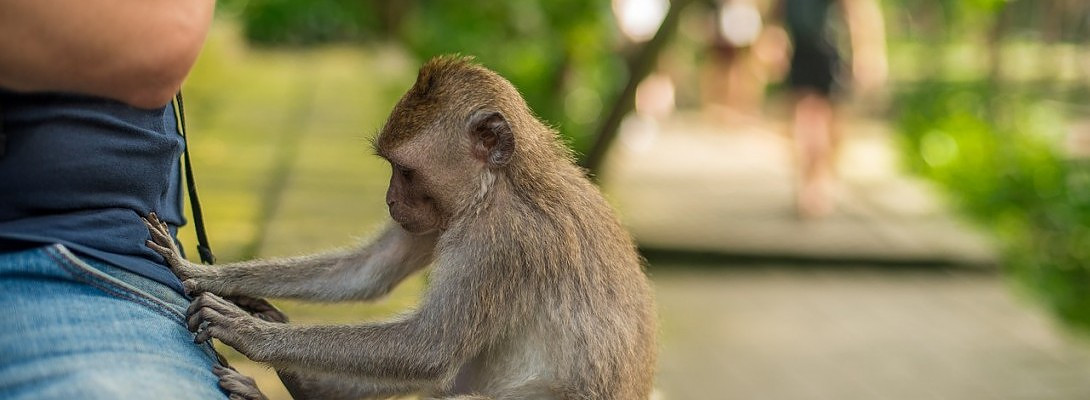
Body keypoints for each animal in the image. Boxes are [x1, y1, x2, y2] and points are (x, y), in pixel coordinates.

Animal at [144, 55, 658, 399]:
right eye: (391, 168)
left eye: (405, 172)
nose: (390, 200)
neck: (497, 185)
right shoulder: (441, 217)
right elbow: (372, 270)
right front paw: (207, 276)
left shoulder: (502, 241)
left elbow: (428, 349)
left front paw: (251, 334)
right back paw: (309, 385)